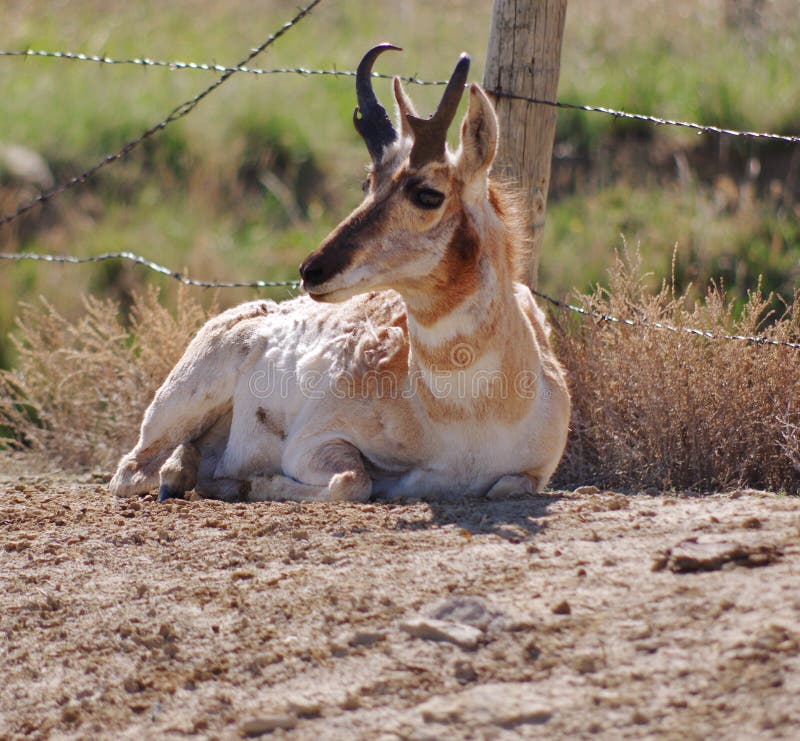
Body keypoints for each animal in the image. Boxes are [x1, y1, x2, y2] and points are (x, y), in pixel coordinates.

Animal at [109, 45, 571, 503]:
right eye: (368, 184)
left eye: (427, 194)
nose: (312, 269)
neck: (466, 417)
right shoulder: (313, 443)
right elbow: (353, 481)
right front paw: (253, 482)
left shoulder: (532, 475)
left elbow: (508, 486)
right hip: (180, 407)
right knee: (131, 472)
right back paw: (182, 477)